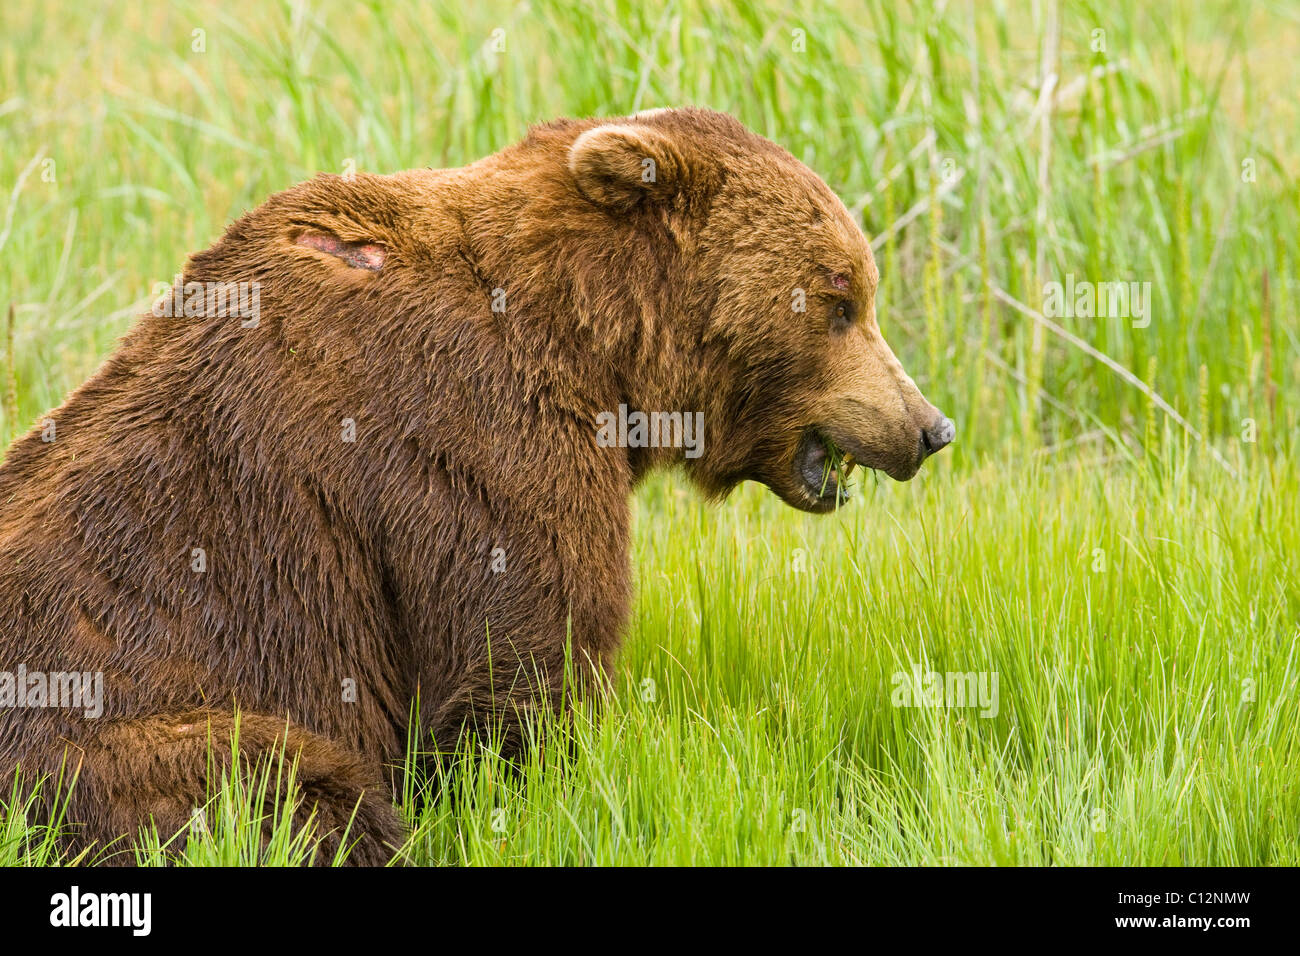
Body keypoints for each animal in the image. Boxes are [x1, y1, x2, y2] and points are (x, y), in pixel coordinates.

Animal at [0, 107, 953, 865]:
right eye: (839, 299)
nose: (928, 426)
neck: (592, 341)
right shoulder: (474, 438)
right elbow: (521, 667)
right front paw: (541, 800)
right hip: (101, 737)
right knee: (276, 778)